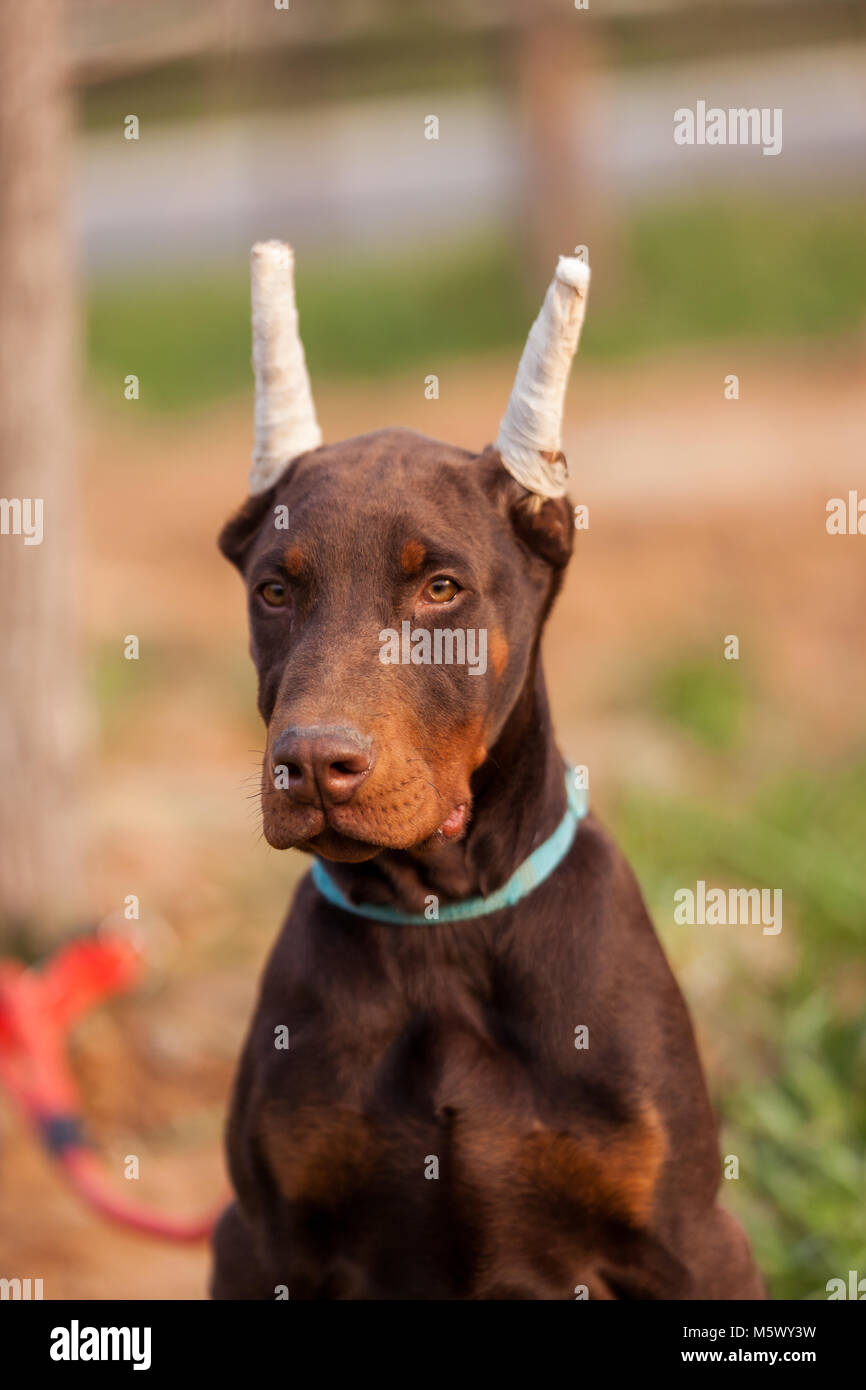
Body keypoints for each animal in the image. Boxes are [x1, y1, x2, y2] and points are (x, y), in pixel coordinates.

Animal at [210, 243, 764, 1300]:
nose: (312, 765)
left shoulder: (693, 1238)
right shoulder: (259, 1239)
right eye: (273, 589)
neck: (443, 923)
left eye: (441, 589)